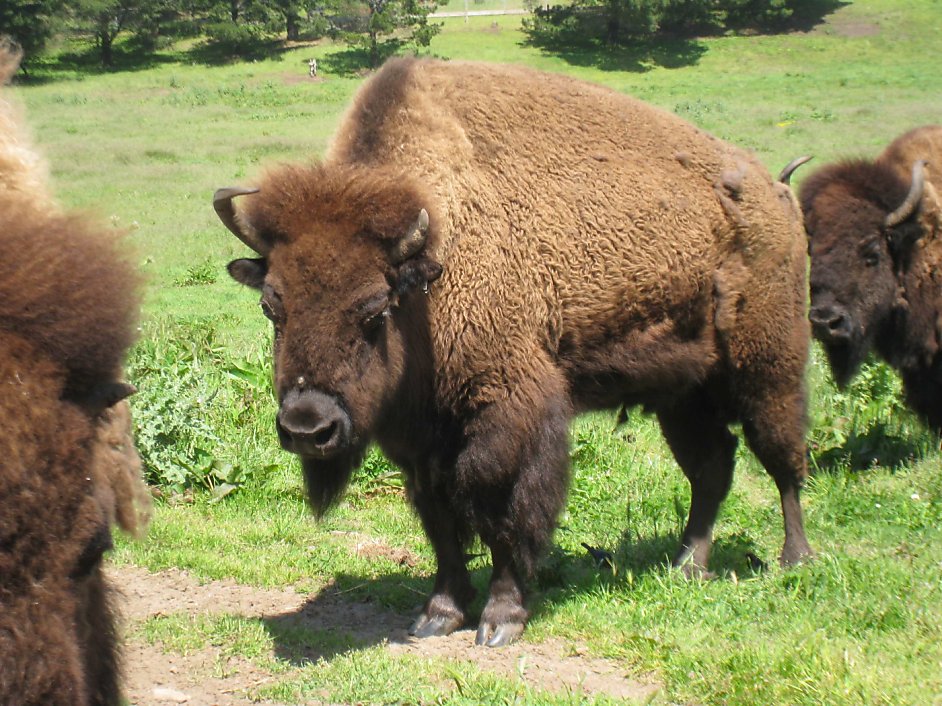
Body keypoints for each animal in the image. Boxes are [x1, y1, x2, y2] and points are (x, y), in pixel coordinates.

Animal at [218, 58, 813, 646]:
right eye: (271, 307)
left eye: (375, 309)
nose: (307, 427)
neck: (432, 271)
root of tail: (779, 195)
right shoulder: (419, 439)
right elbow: (439, 517)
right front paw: (439, 613)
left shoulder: (507, 413)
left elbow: (499, 506)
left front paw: (501, 618)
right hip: (681, 392)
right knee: (712, 466)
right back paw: (688, 566)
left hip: (768, 364)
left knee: (781, 456)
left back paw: (795, 559)